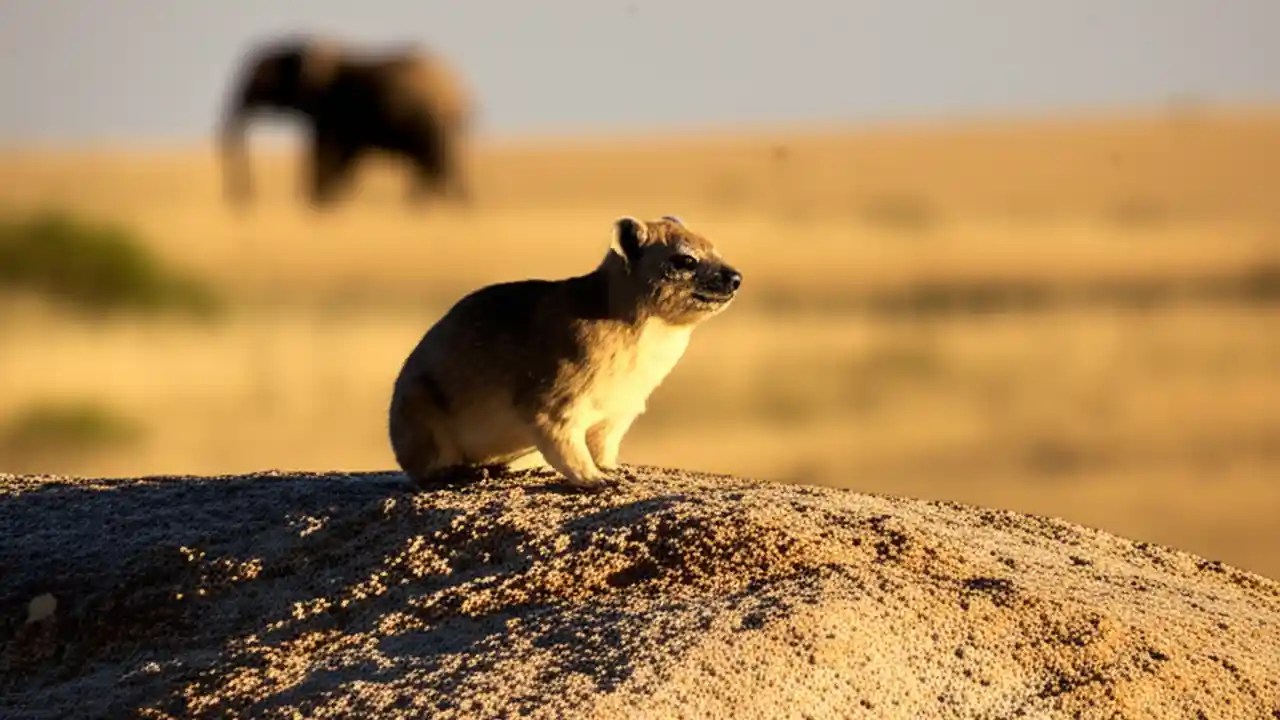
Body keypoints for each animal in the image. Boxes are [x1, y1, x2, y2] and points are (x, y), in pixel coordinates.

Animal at [220, 36, 475, 208]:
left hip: (430, 121)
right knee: (440, 164)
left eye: (259, 77)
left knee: (435, 164)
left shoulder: (335, 109)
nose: (246, 202)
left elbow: (328, 154)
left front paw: (320, 207)